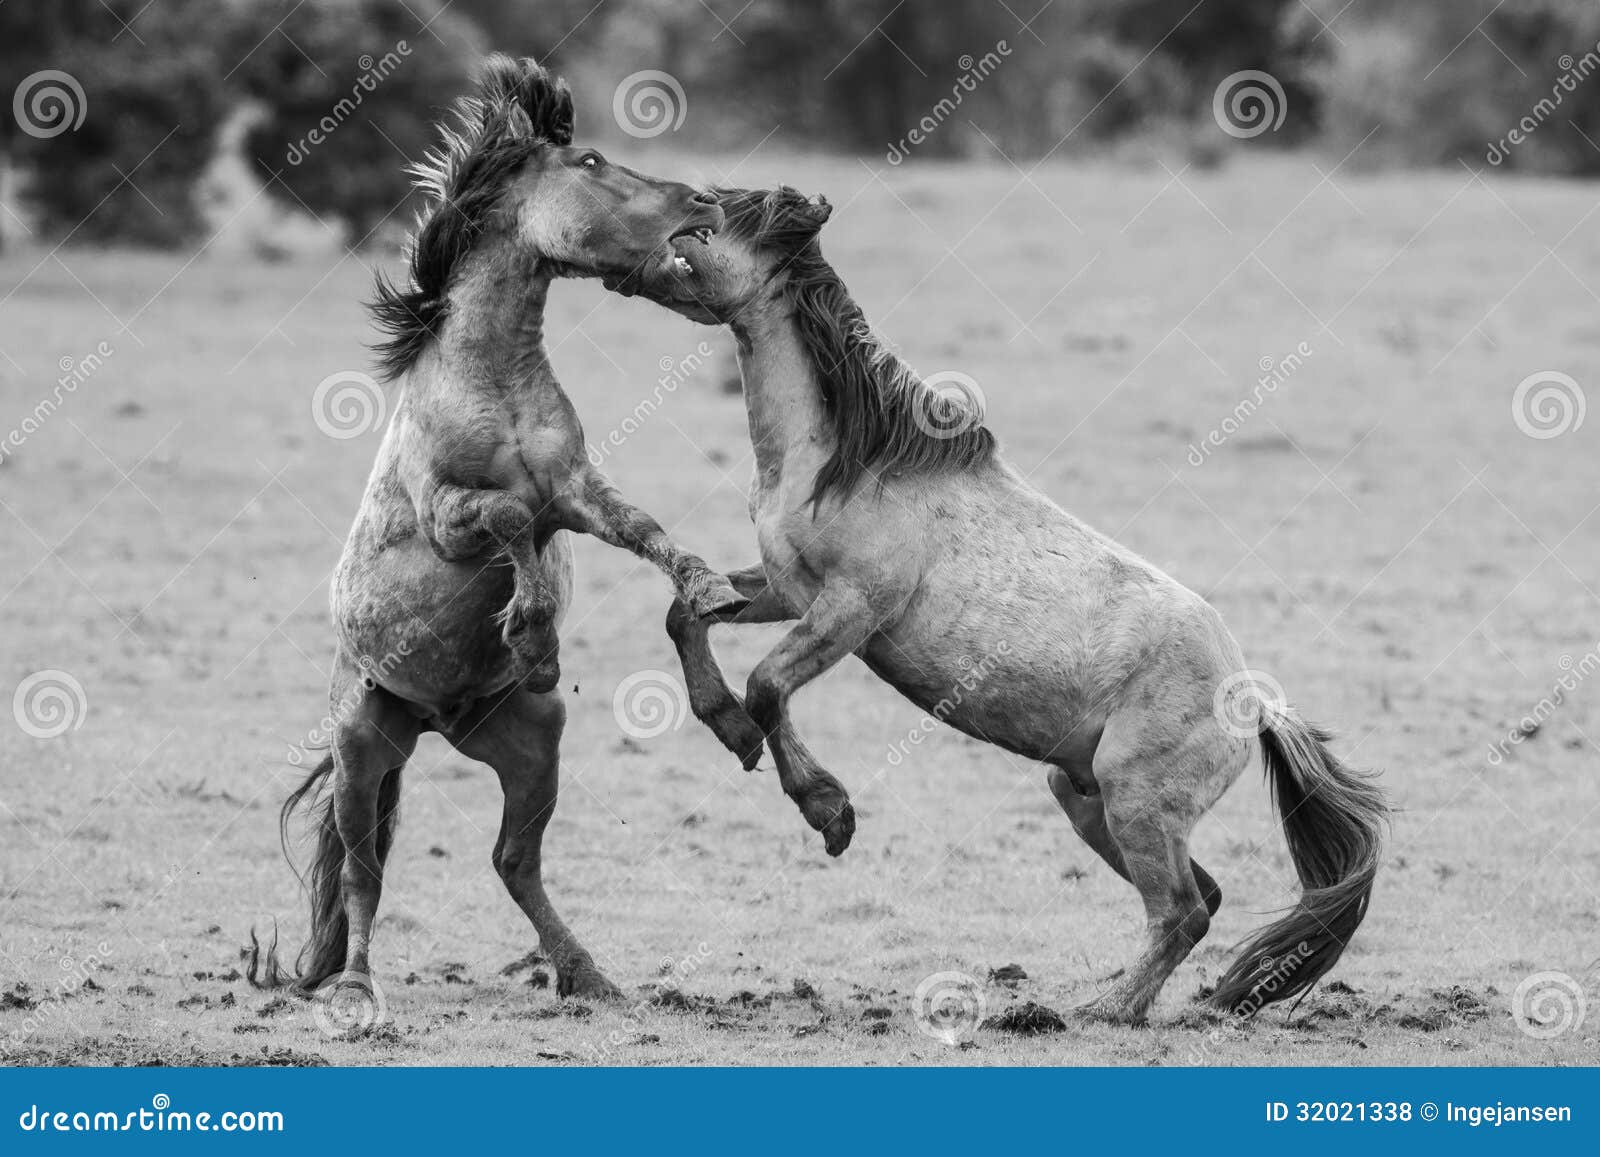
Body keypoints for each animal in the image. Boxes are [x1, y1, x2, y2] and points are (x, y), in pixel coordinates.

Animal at [248, 57, 738, 1009]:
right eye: (589, 161)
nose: (705, 199)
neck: (492, 379)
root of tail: (434, 720)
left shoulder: (578, 493)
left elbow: (647, 532)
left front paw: (711, 590)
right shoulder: (448, 515)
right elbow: (509, 520)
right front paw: (532, 631)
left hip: (532, 745)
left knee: (513, 861)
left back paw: (586, 974)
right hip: (362, 746)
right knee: (363, 871)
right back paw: (357, 987)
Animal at [623, 186, 1389, 1024]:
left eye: (712, 212)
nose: (633, 257)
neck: (845, 458)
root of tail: (1255, 702)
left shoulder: (852, 609)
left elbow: (766, 685)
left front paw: (829, 810)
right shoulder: (786, 590)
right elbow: (686, 617)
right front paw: (729, 728)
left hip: (1136, 802)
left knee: (1182, 911)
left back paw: (1105, 1011)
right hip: (1085, 795)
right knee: (1202, 901)